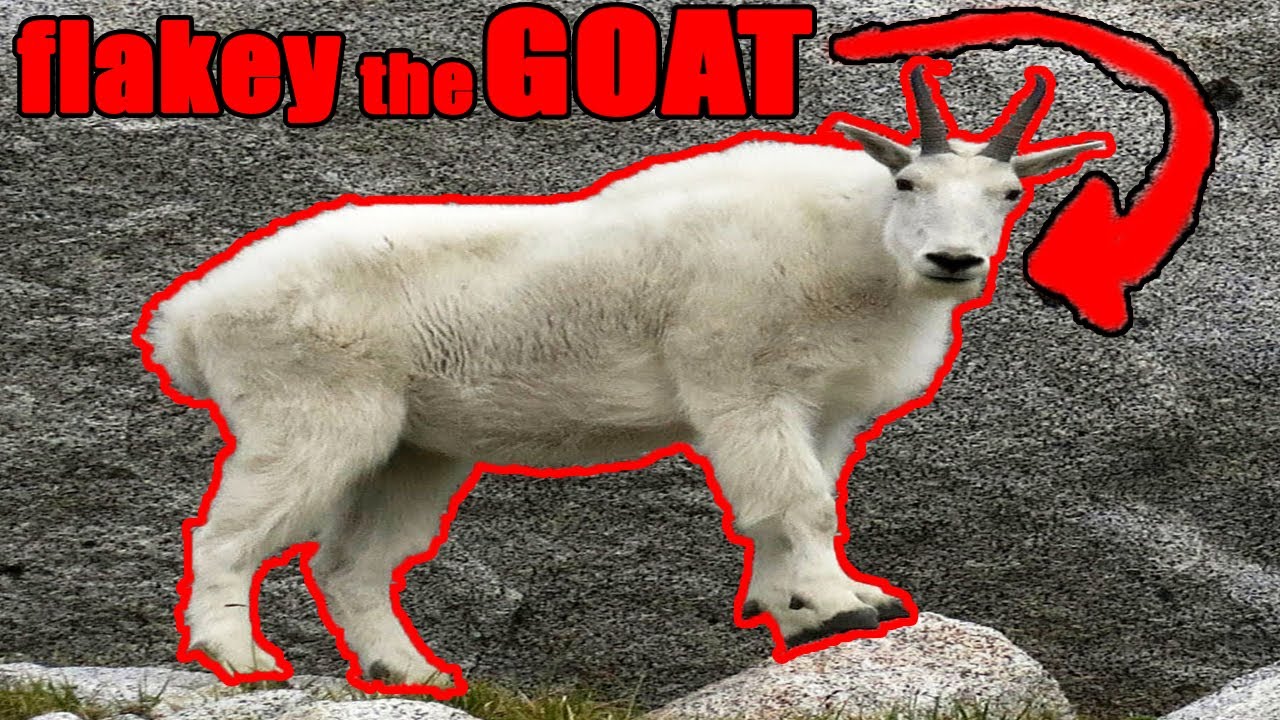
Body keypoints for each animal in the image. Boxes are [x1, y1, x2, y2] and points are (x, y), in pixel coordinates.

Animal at [139, 63, 1107, 691]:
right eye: (907, 182)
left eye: (1010, 195)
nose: (954, 261)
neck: (859, 254)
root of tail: (189, 314)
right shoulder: (740, 384)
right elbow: (796, 502)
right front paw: (843, 606)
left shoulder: (822, 409)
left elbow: (799, 504)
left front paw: (798, 608)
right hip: (310, 413)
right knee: (226, 535)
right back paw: (238, 659)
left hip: (417, 447)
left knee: (354, 564)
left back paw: (409, 670)